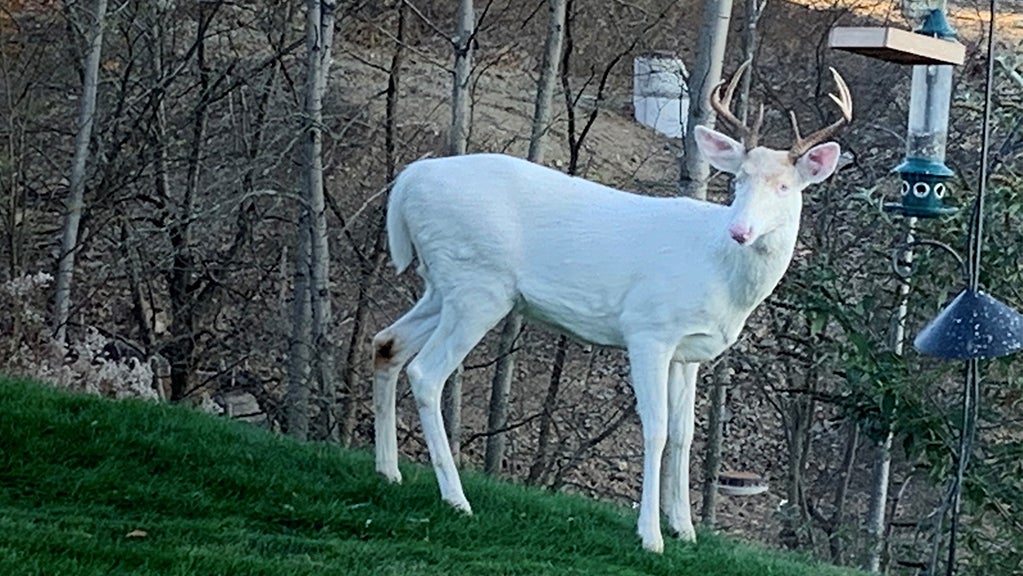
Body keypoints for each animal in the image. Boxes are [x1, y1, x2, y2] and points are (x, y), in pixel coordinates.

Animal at [371, 63, 852, 553]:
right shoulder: (648, 328)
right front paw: (651, 535)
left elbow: (685, 434)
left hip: (444, 284)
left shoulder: (690, 352)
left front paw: (686, 529)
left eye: (784, 186)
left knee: (386, 343)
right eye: (739, 180)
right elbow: (656, 429)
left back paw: (389, 471)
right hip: (479, 284)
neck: (720, 272)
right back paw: (456, 498)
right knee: (426, 372)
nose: (740, 230)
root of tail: (409, 180)